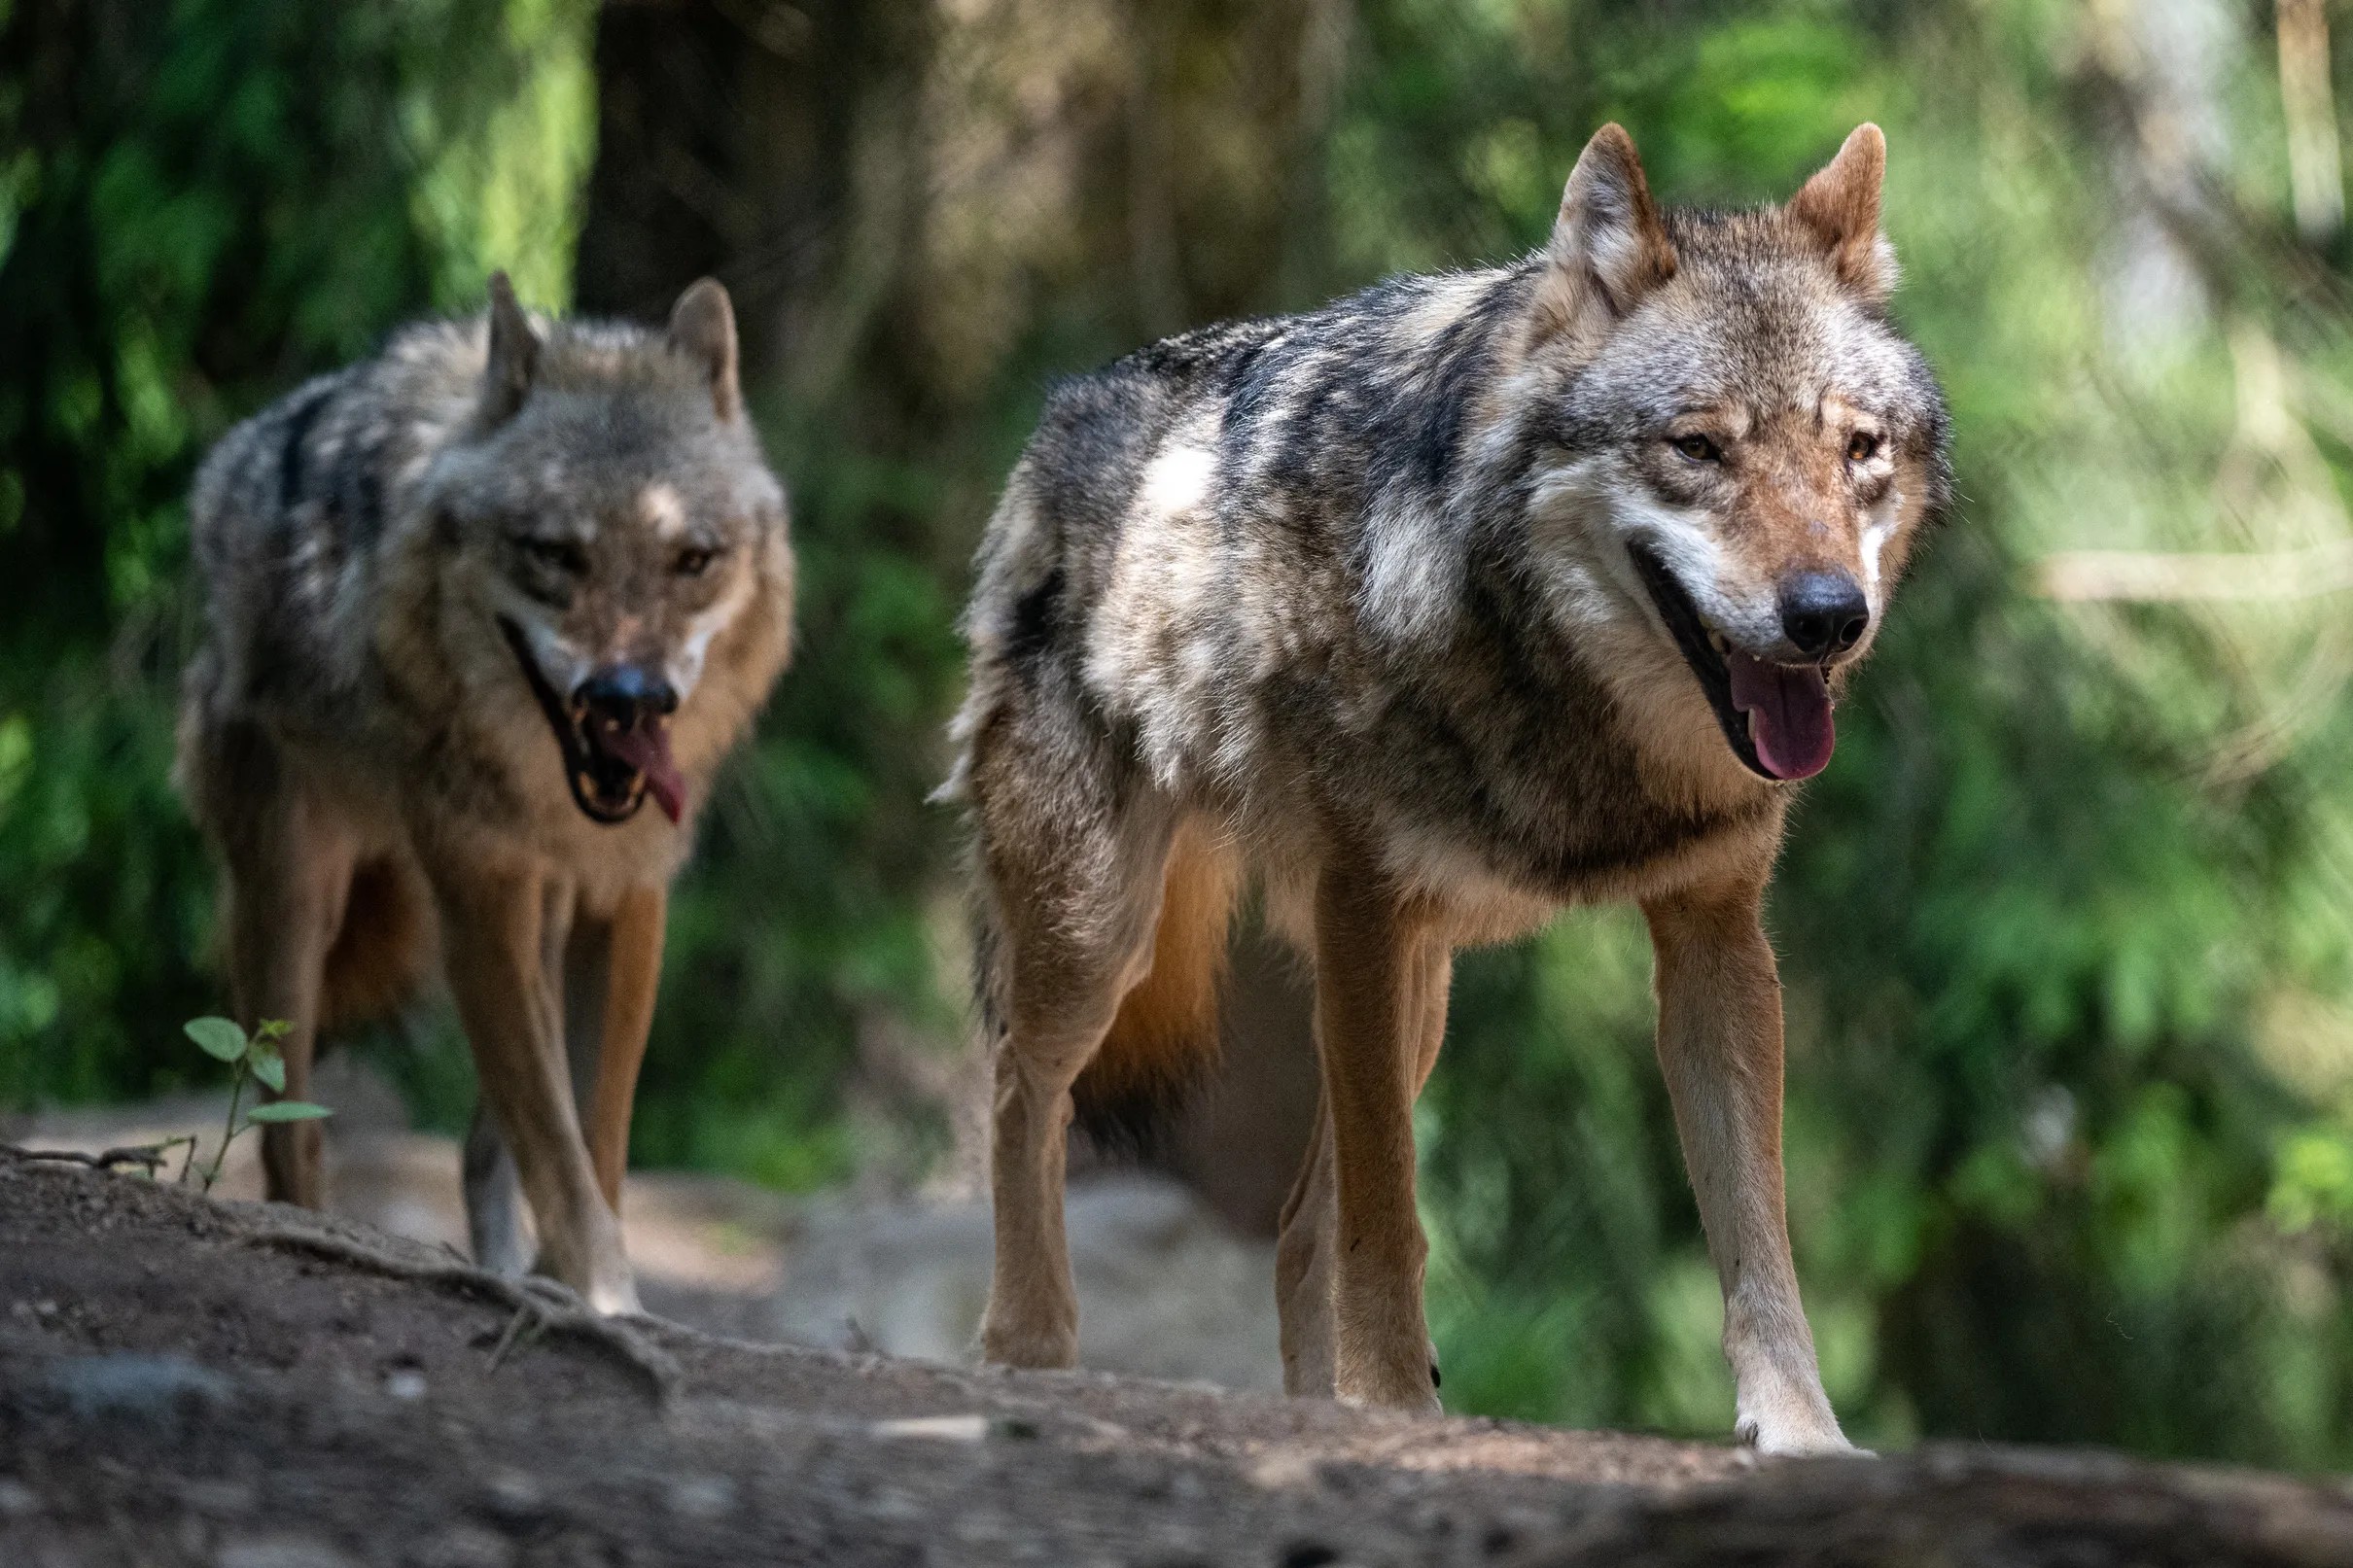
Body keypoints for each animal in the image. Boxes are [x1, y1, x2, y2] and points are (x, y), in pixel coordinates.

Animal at [177, 275, 794, 1313]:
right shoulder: (481, 894)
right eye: (554, 554)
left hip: (536, 918)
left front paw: (585, 1287)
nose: (630, 698)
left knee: (475, 1148)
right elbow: (557, 1145)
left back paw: (509, 1270)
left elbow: (596, 1137)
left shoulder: (626, 898)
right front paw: (601, 1293)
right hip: (293, 913)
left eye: (693, 560)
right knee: (291, 1131)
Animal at [944, 123, 1948, 1452]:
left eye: (1857, 450)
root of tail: (1068, 404)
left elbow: (1755, 1234)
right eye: (1697, 446)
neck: (1560, 695)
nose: (1829, 616)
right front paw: (1388, 1401)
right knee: (1022, 1093)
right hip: (1103, 936)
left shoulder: (1715, 934)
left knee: (1292, 1227)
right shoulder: (1365, 910)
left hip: (1413, 995)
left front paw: (1800, 1434)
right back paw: (1029, 1347)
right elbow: (1388, 1221)